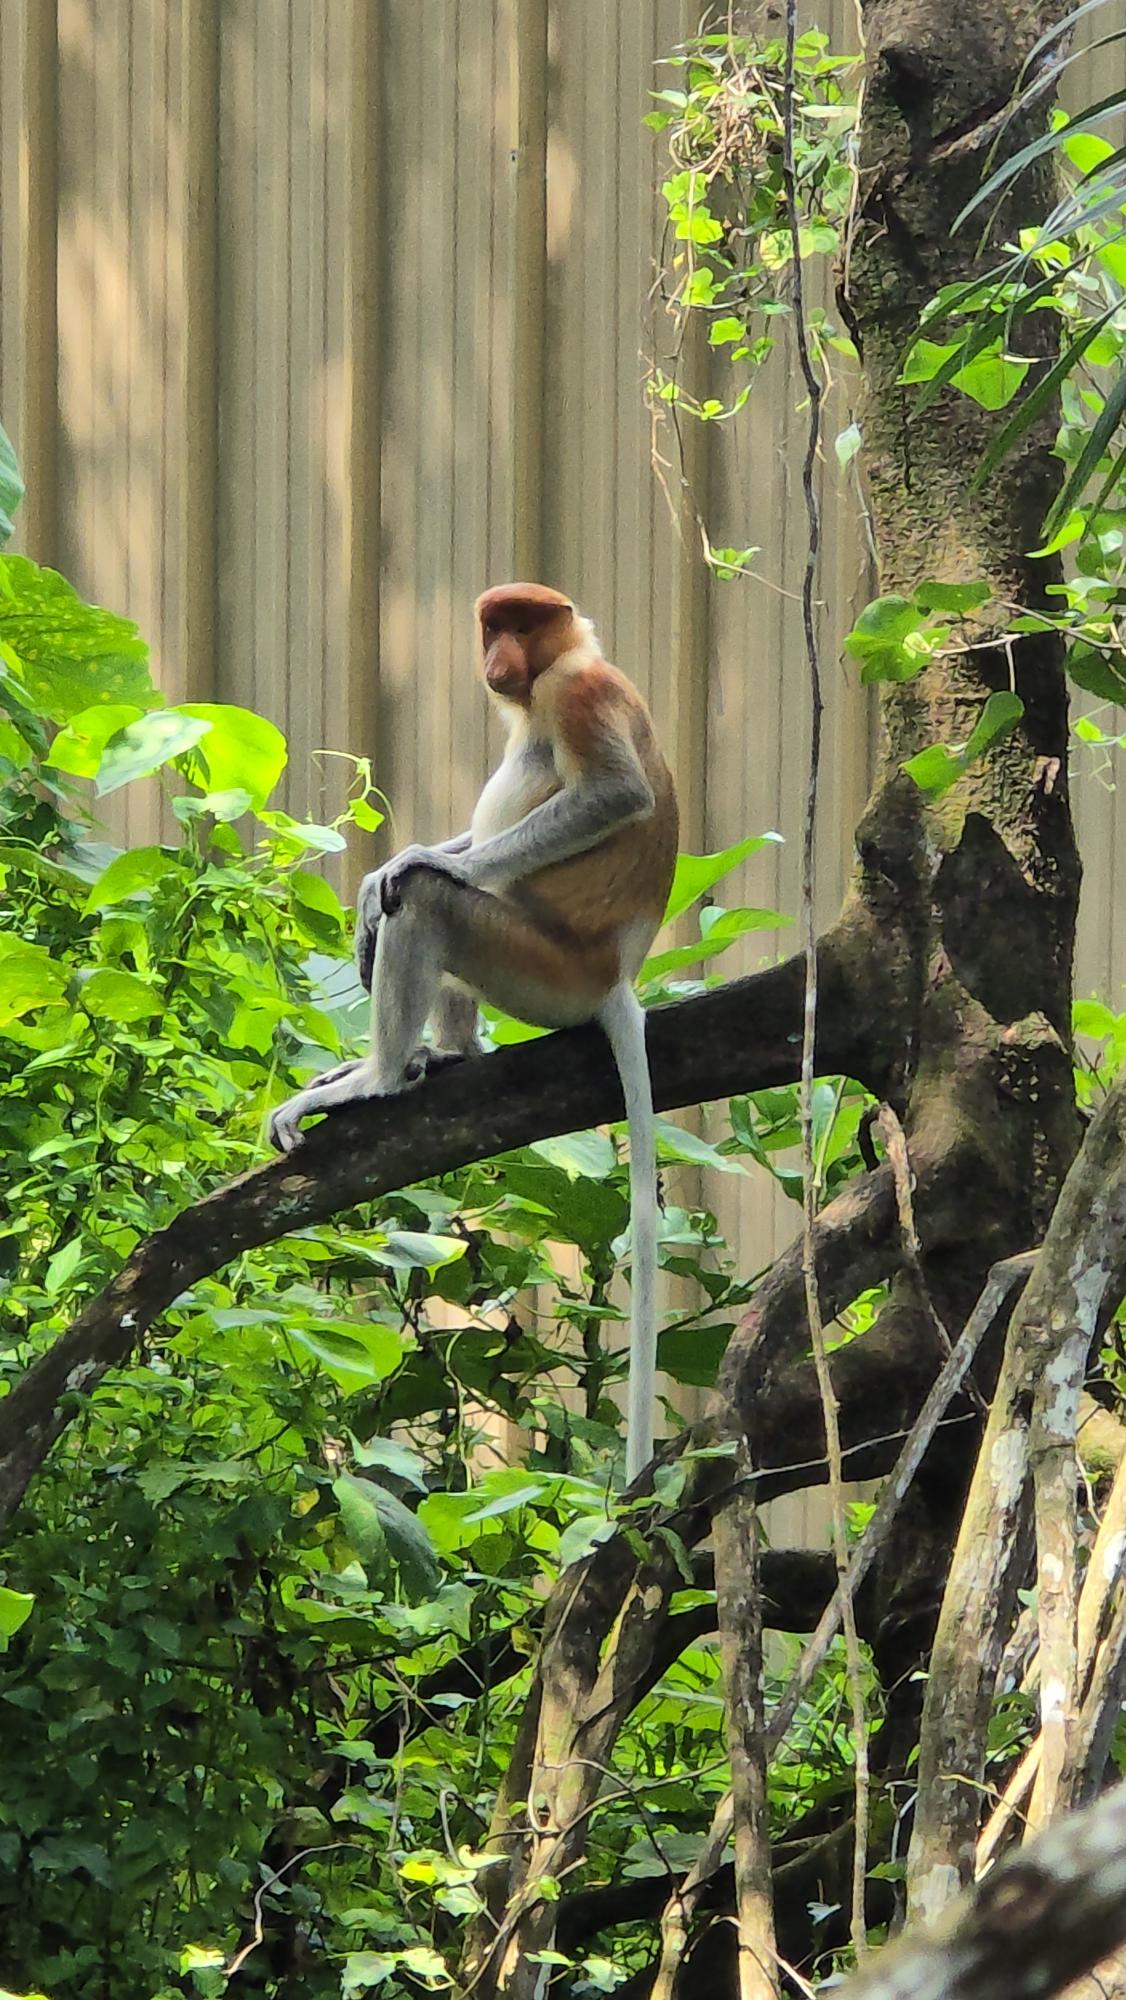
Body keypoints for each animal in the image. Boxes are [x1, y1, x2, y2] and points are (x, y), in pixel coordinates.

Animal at [274, 584, 680, 1480]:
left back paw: (377, 1076)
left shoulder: (579, 696)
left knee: (431, 910)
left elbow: (612, 796)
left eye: (522, 625)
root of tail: (615, 980)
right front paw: (371, 888)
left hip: (540, 967)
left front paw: (429, 860)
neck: (564, 662)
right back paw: (443, 1054)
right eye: (490, 624)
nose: (497, 654)